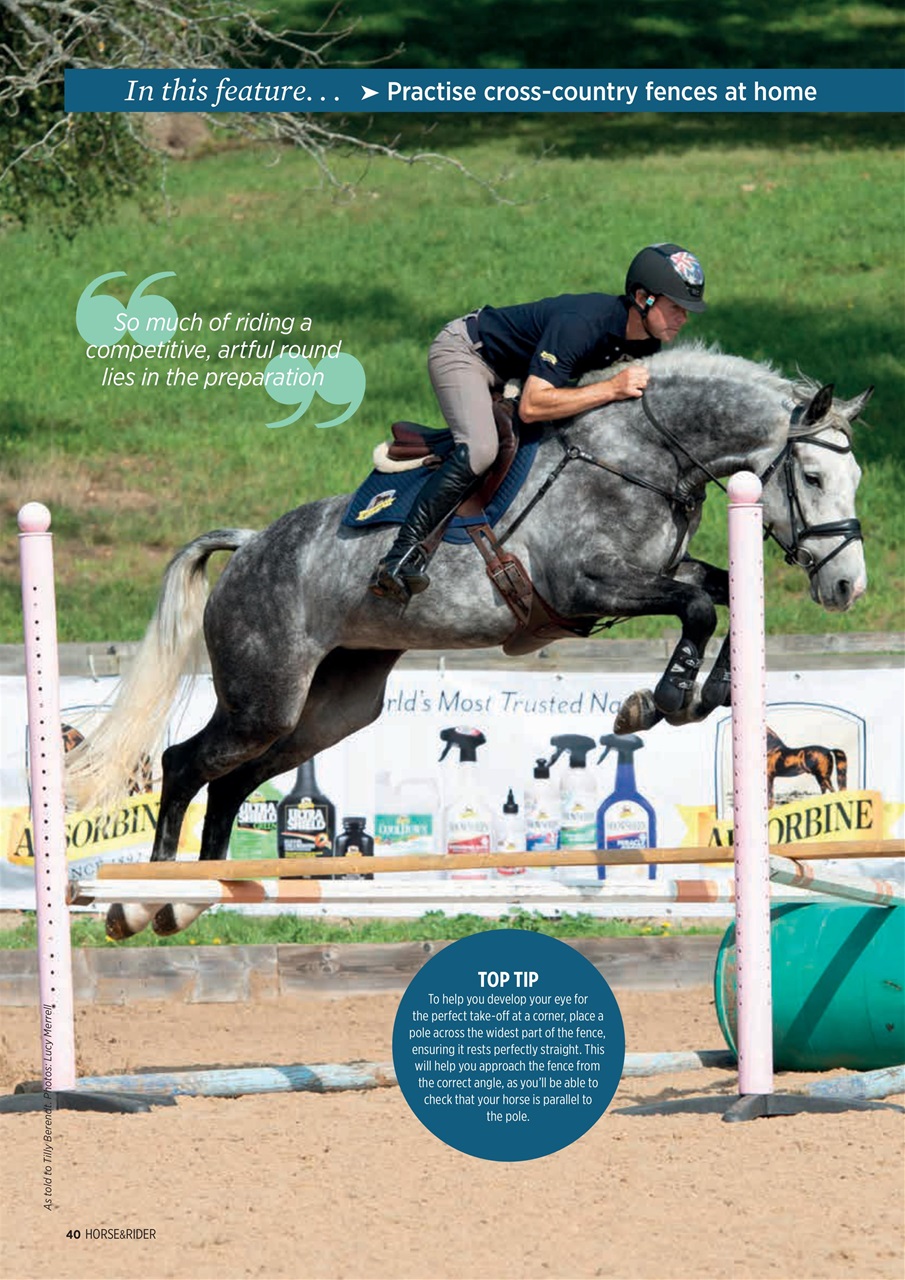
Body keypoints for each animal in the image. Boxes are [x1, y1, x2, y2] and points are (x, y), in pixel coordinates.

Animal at [65, 345, 871, 939]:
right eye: (812, 474)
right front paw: (662, 699)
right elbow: (699, 606)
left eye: (856, 475)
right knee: (184, 763)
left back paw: (192, 895)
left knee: (232, 781)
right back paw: (142, 899)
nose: (846, 588)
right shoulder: (584, 587)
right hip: (263, 697)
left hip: (329, 708)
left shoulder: (655, 571)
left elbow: (723, 591)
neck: (638, 455)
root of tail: (252, 544)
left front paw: (708, 690)